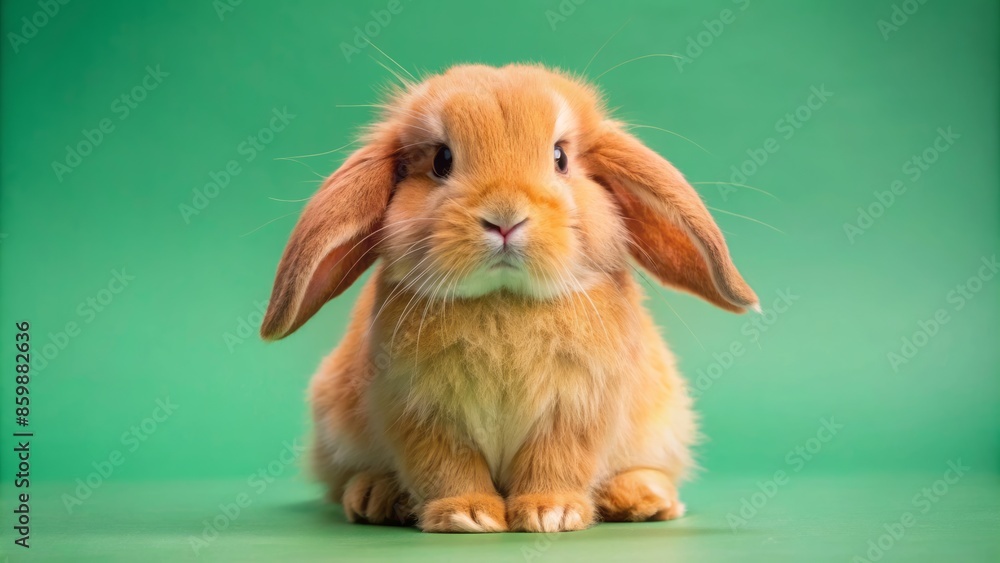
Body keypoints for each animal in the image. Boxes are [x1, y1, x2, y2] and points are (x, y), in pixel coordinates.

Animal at [260, 64, 758, 533]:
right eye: (441, 160)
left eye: (560, 157)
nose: (504, 218)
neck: (503, 300)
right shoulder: (422, 415)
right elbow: (446, 468)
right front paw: (468, 516)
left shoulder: (575, 412)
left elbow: (556, 463)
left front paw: (551, 513)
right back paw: (375, 498)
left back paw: (643, 499)